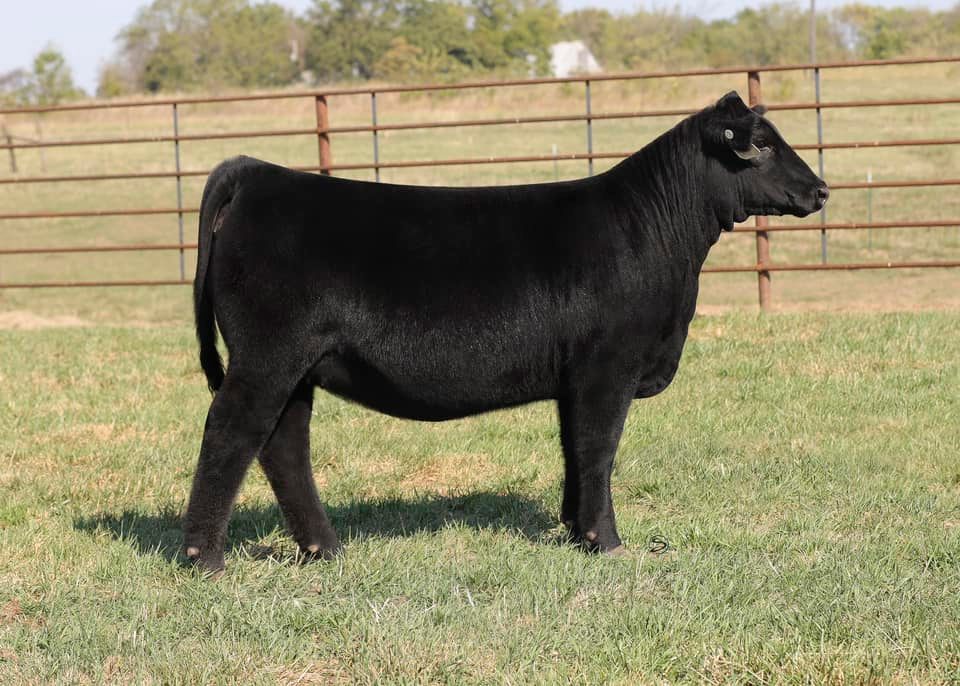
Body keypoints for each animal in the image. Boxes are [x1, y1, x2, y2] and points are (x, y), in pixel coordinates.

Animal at [182, 91, 828, 572]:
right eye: (761, 145)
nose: (821, 189)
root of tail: (258, 173)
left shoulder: (574, 378)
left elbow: (573, 448)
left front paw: (575, 531)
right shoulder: (607, 367)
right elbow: (599, 448)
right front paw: (607, 543)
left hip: (296, 368)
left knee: (283, 444)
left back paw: (325, 549)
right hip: (268, 357)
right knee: (231, 433)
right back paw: (204, 558)